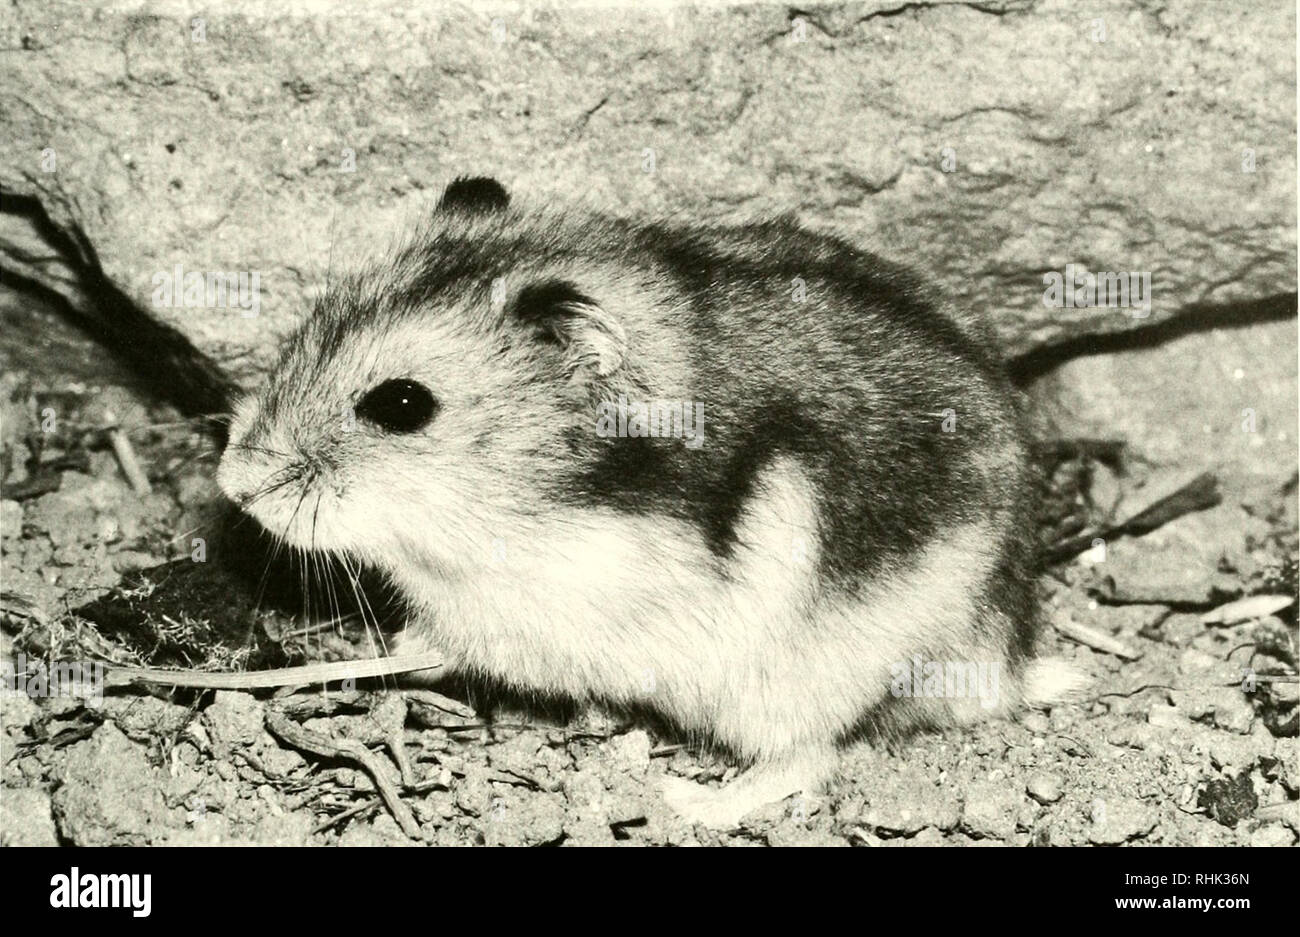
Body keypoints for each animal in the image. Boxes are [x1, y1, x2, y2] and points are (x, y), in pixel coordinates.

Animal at [217, 176, 1084, 828]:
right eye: (314, 317)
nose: (232, 482)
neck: (516, 500)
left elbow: (426, 646)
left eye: (401, 404)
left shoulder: (528, 616)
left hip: (788, 683)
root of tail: (1004, 659)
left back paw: (681, 799)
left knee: (807, 760)